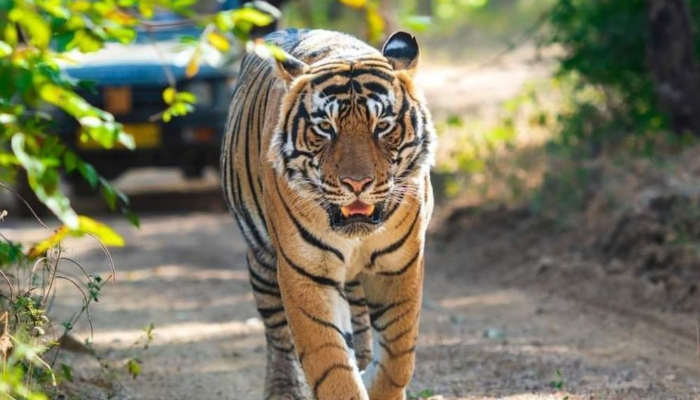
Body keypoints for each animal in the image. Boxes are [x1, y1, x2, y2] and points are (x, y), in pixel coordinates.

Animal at [221, 28, 436, 400]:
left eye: (382, 126)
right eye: (325, 127)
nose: (357, 182)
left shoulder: (399, 266)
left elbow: (397, 358)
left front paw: (375, 381)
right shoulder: (306, 272)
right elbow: (331, 364)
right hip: (262, 260)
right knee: (277, 333)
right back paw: (284, 389)